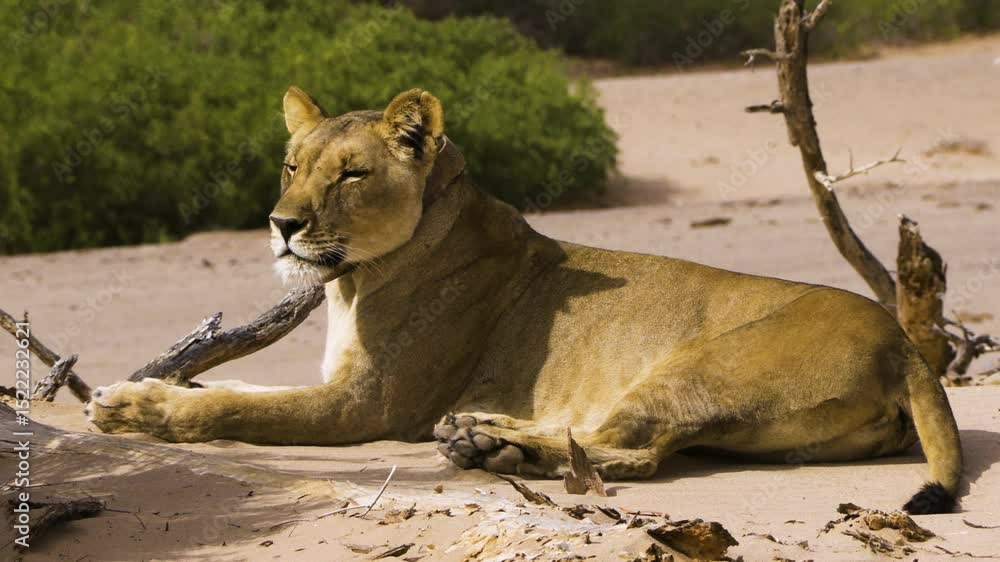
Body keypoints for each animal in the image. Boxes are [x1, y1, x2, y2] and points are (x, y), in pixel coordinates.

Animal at [87, 87, 962, 514]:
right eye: (291, 166)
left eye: (351, 174)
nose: (281, 225)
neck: (354, 280)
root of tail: (903, 343)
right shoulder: (342, 383)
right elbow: (238, 381)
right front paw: (143, 385)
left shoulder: (369, 407)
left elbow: (234, 406)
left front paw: (134, 408)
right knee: (619, 441)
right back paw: (486, 440)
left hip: (699, 366)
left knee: (632, 449)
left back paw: (485, 445)